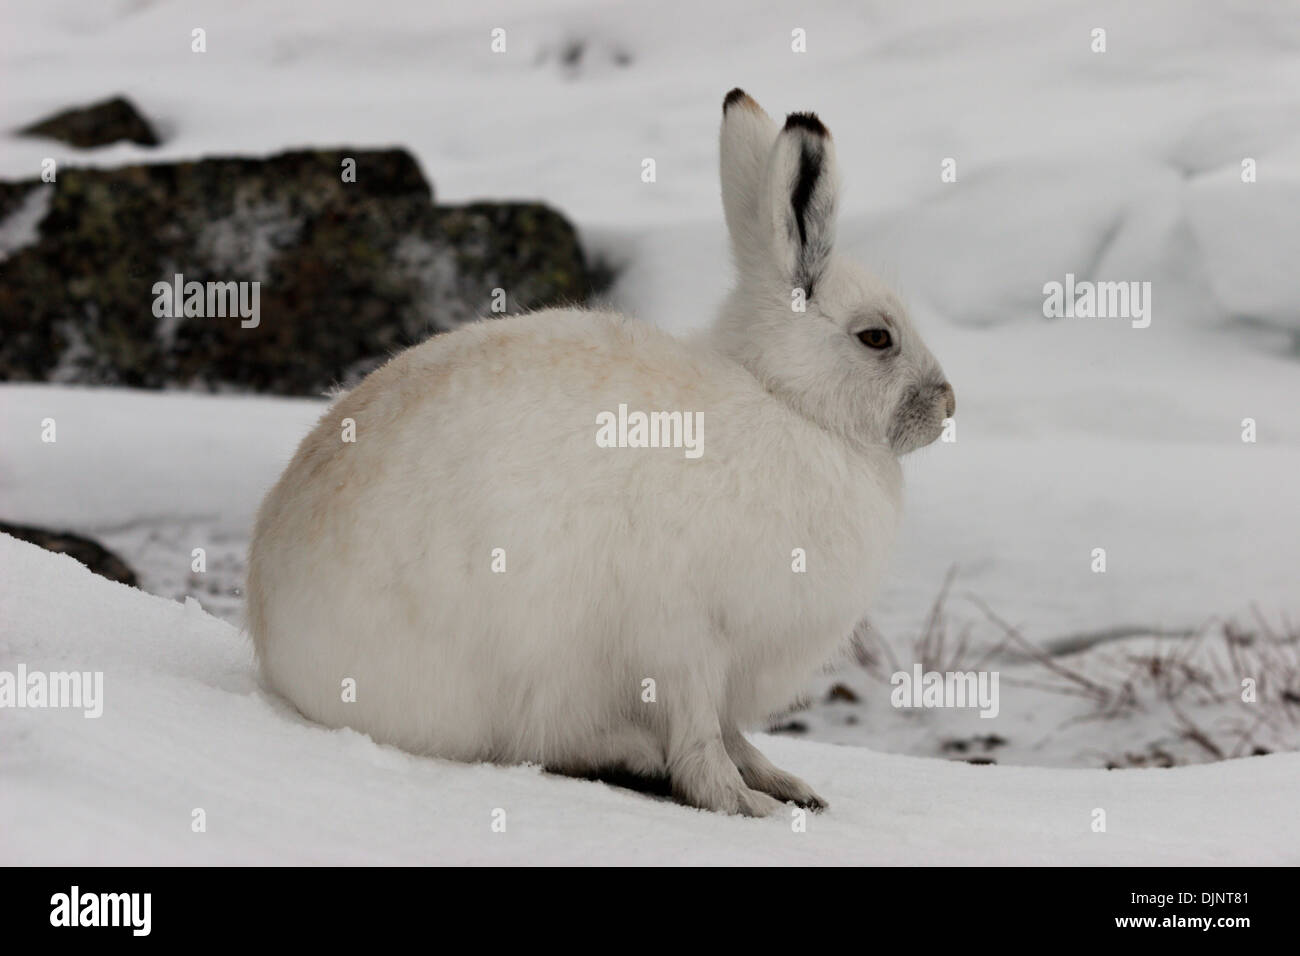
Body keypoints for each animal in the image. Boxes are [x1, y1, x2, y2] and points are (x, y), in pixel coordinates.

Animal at [246, 88, 954, 817]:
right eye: (877, 338)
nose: (948, 405)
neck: (788, 400)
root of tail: (276, 646)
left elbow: (734, 734)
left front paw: (787, 786)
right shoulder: (686, 640)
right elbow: (701, 734)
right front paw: (743, 804)